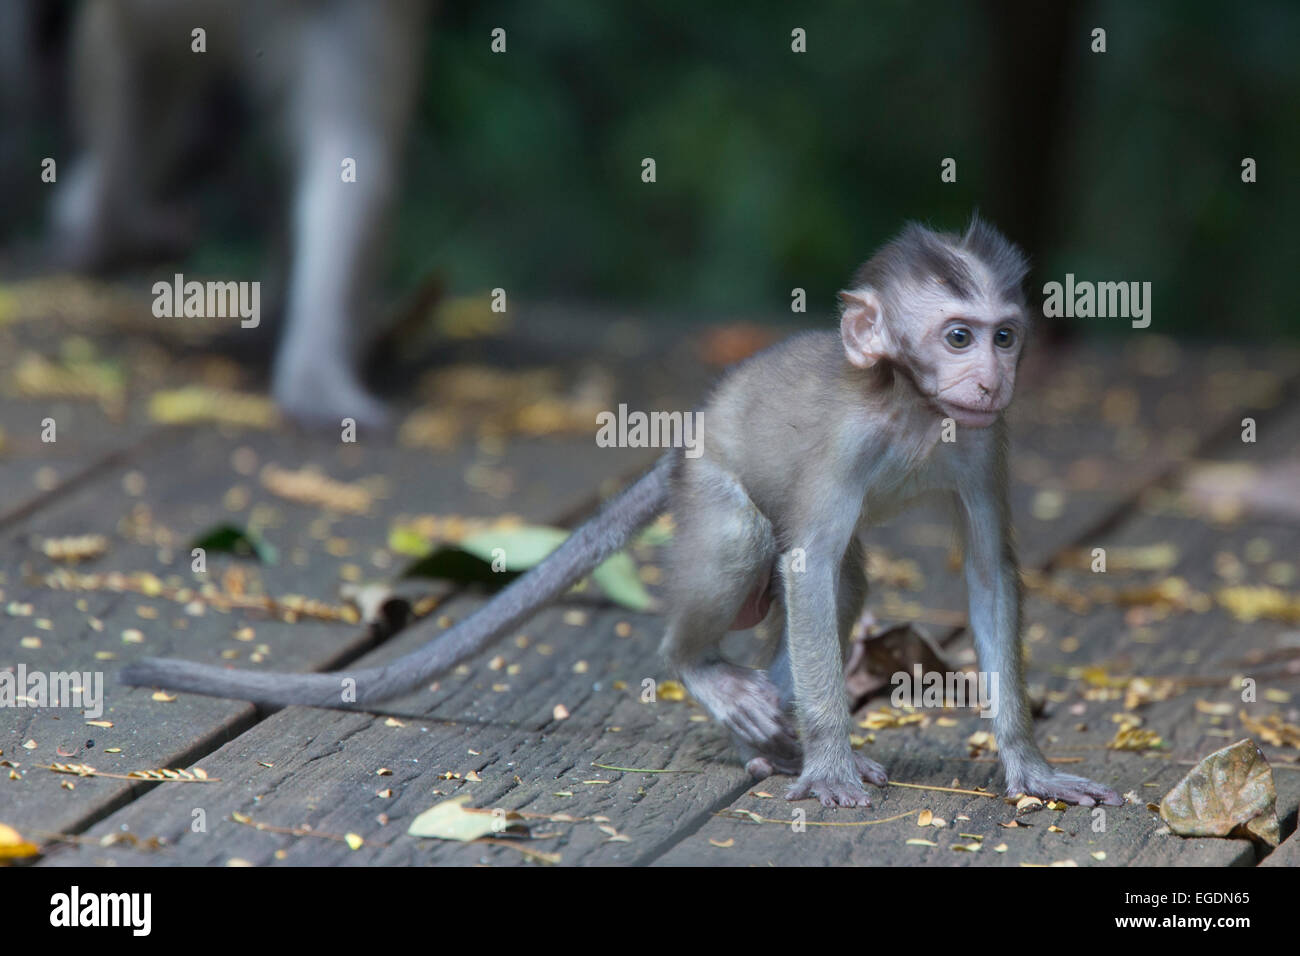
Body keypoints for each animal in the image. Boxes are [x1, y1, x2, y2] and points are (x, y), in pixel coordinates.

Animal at [123, 217, 1123, 809]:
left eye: (1003, 335)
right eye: (956, 336)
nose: (990, 376)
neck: (913, 407)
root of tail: (686, 441)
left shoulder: (985, 441)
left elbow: (987, 571)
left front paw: (1027, 763)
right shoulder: (853, 441)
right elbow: (804, 565)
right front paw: (831, 761)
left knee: (844, 579)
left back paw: (774, 744)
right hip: (710, 484)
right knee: (755, 544)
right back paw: (700, 669)